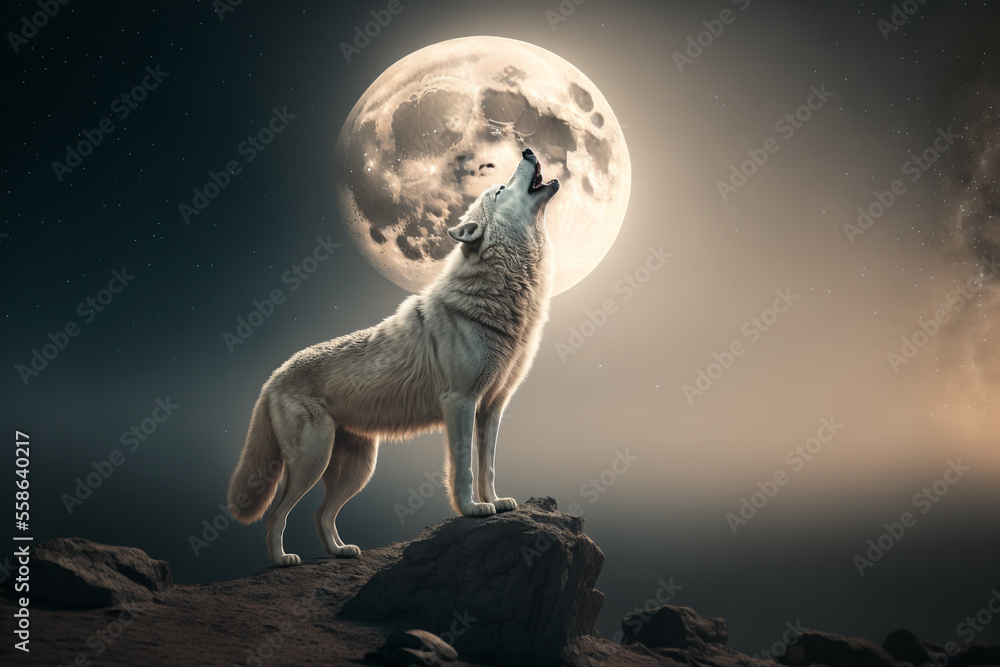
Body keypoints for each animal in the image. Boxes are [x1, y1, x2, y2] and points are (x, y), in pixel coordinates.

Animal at [226, 149, 559, 566]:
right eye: (500, 189)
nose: (528, 151)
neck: (501, 294)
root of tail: (272, 377)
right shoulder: (460, 403)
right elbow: (464, 468)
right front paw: (471, 509)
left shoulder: (492, 407)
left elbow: (488, 468)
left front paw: (495, 503)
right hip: (312, 462)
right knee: (276, 514)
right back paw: (282, 561)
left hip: (358, 468)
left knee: (321, 515)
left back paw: (341, 551)